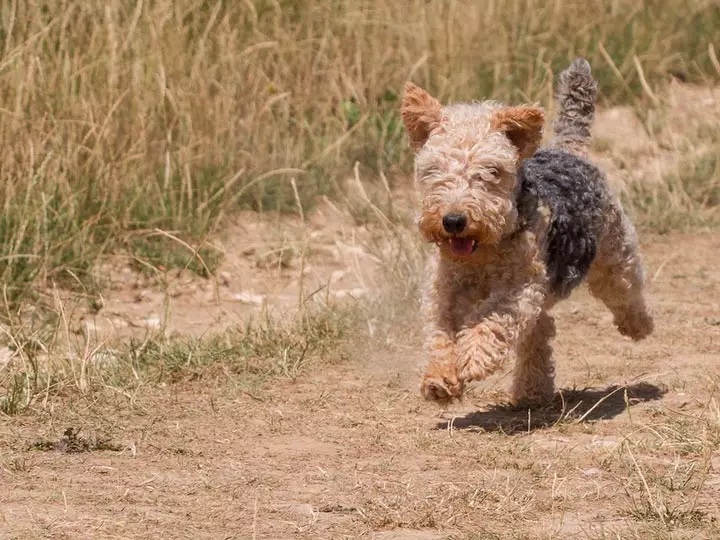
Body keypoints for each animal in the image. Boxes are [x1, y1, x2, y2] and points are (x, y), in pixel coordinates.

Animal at [402, 59, 656, 404]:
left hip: (615, 256)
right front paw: (439, 379)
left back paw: (639, 326)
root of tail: (568, 150)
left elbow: (489, 319)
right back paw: (532, 390)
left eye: (491, 171)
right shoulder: (442, 291)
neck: (484, 252)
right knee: (540, 332)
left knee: (627, 292)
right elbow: (439, 334)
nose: (453, 221)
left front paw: (472, 358)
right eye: (432, 170)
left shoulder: (520, 288)